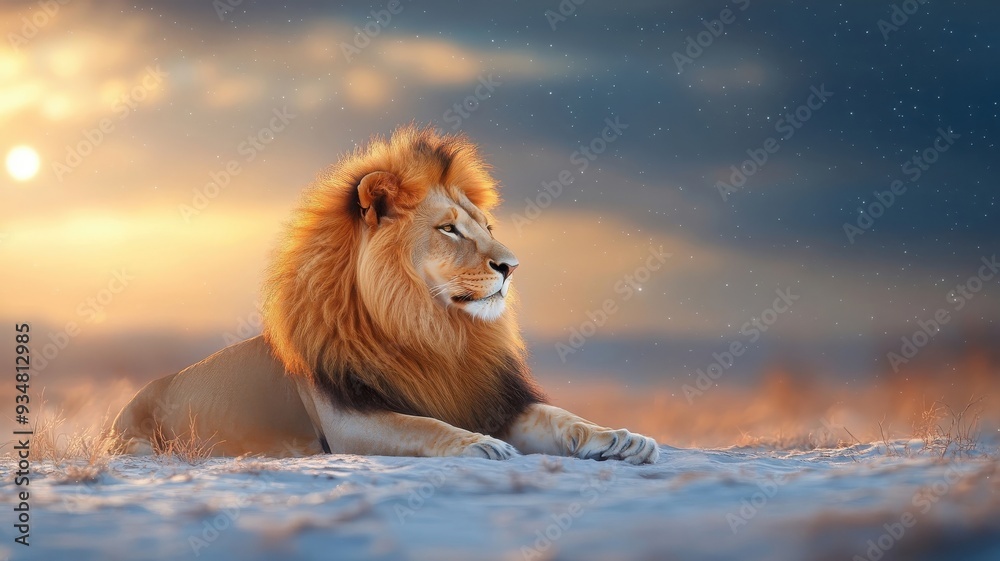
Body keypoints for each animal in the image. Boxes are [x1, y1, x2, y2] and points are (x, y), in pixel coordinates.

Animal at [112, 125, 659, 464]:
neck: (432, 329)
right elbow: (422, 426)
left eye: (485, 227)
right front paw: (480, 446)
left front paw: (622, 438)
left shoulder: (488, 397)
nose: (512, 266)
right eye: (449, 229)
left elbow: (563, 416)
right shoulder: (347, 422)